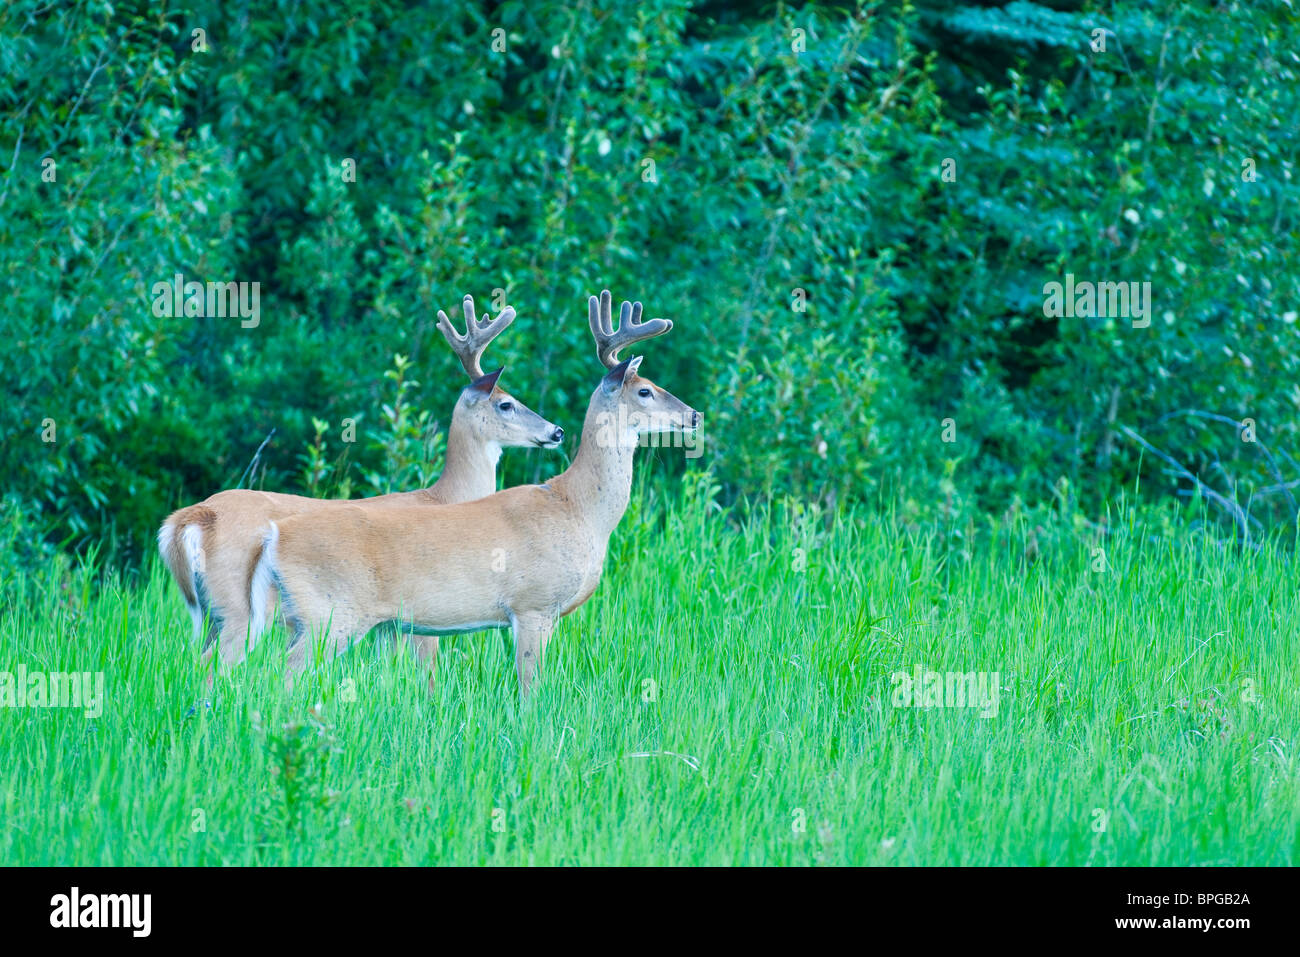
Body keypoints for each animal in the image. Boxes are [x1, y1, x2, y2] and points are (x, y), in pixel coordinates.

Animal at [157, 294, 564, 669]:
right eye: (506, 404)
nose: (556, 431)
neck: (444, 497)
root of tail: (189, 518)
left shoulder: (388, 623)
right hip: (239, 605)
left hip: (212, 610)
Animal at [250, 290, 699, 695]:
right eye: (645, 390)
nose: (694, 415)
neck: (578, 508)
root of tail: (275, 538)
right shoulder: (533, 604)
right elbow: (530, 688)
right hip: (331, 613)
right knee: (286, 672)